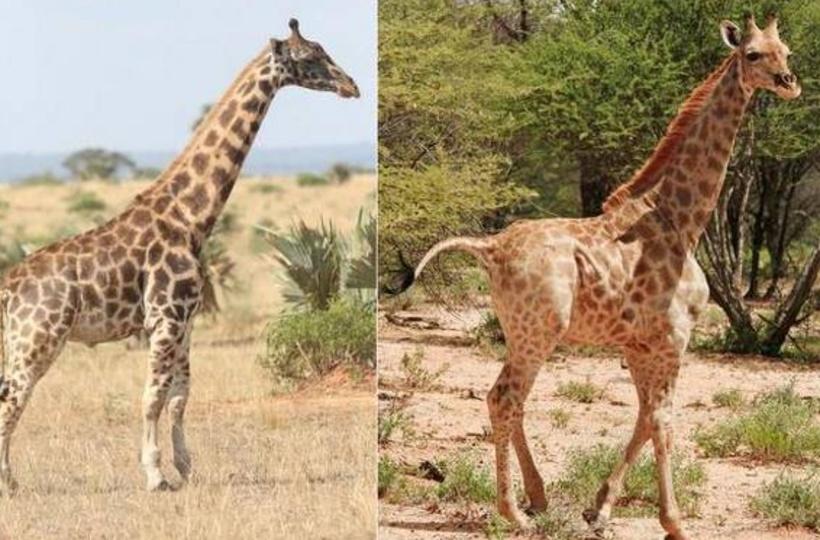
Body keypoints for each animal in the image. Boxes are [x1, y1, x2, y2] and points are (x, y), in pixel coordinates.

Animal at [0, 19, 359, 493]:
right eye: (310, 56)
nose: (351, 85)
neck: (191, 218)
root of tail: (8, 287)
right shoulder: (165, 317)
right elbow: (152, 397)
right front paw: (155, 475)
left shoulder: (187, 319)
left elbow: (179, 397)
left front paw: (185, 467)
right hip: (37, 338)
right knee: (12, 397)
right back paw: (9, 482)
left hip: (21, 339)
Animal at [387, 15, 799, 539]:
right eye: (752, 54)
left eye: (786, 50)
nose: (789, 82)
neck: (680, 219)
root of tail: (490, 249)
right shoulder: (674, 338)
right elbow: (663, 421)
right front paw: (674, 523)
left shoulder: (638, 343)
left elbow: (644, 417)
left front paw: (599, 508)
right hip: (539, 331)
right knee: (504, 397)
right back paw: (513, 512)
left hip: (520, 331)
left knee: (513, 400)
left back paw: (537, 498)